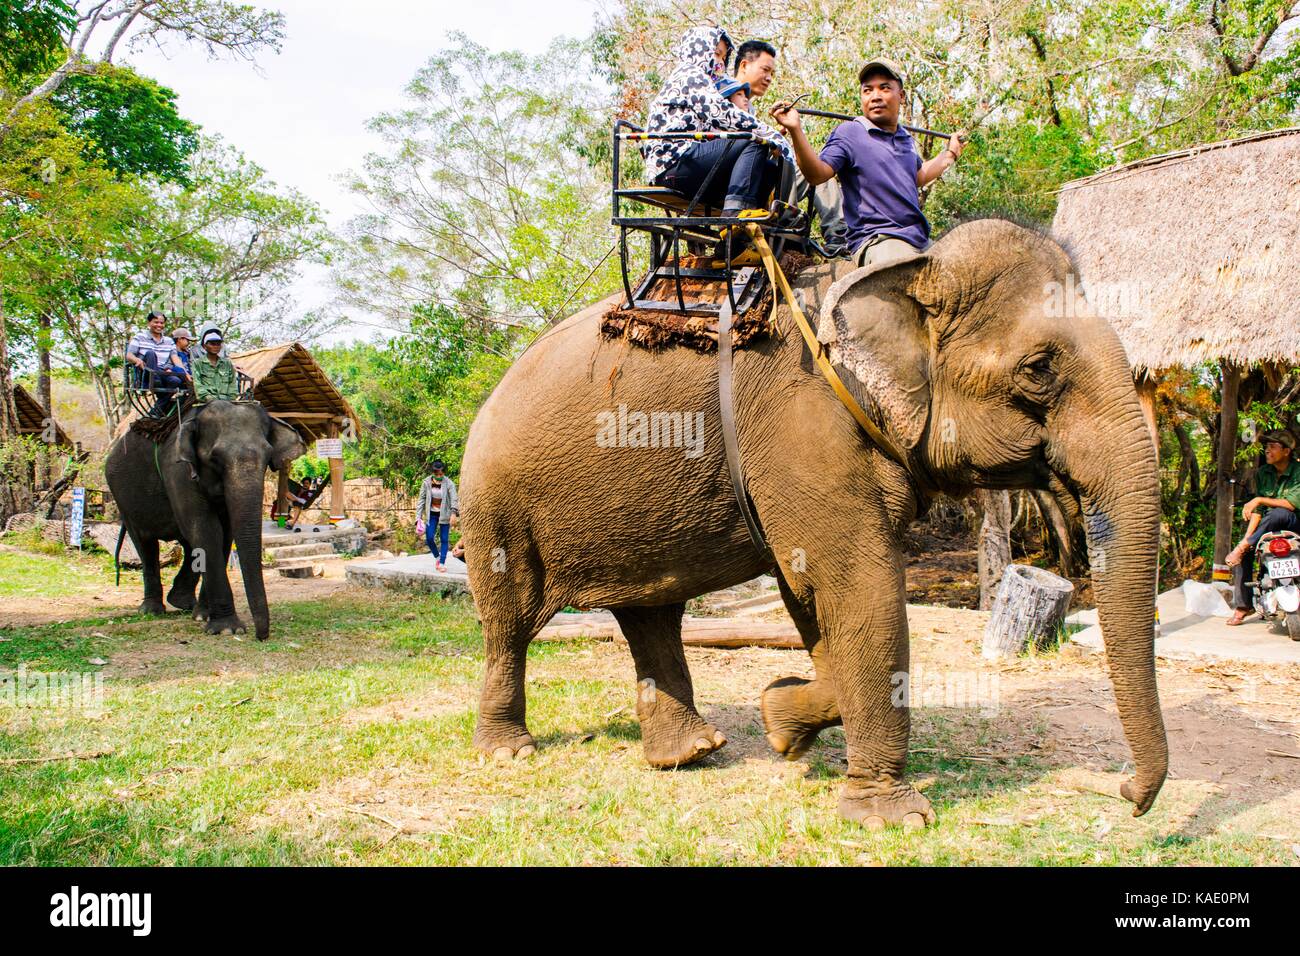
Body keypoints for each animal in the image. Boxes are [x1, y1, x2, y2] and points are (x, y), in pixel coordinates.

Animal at [105, 400, 305, 640]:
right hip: (121, 497)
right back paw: (152, 610)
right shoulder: (178, 469)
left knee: (188, 543)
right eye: (214, 458)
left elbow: (224, 534)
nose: (262, 636)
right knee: (146, 544)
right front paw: (228, 628)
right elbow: (205, 528)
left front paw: (206, 617)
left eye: (268, 457)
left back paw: (184, 604)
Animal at [459, 218, 1165, 829]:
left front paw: (781, 719)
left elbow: (813, 597)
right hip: (493, 503)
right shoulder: (803, 422)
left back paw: (693, 752)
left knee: (651, 610)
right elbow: (858, 587)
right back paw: (511, 751)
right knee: (511, 619)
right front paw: (891, 817)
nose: (1127, 794)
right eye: (1039, 369)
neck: (900, 270)